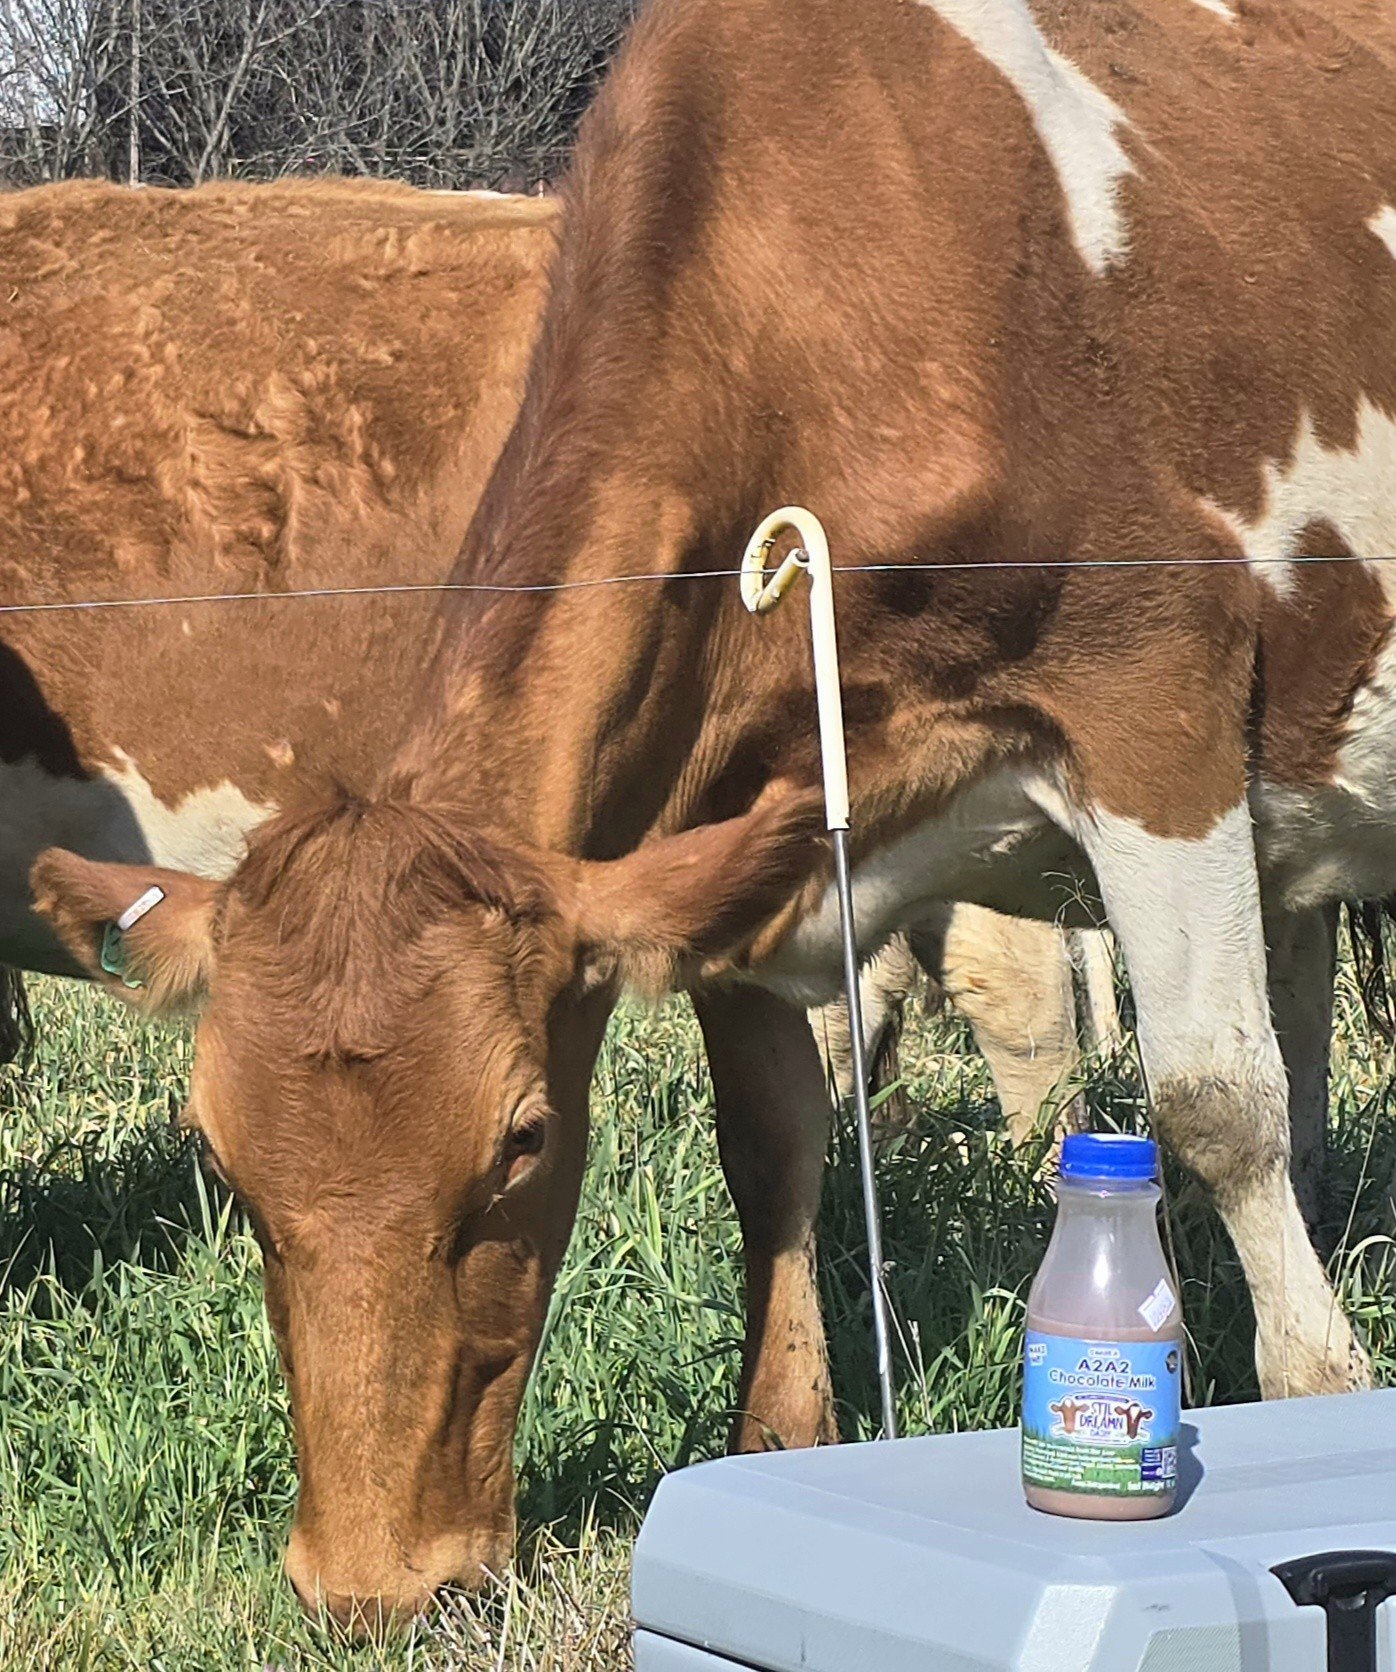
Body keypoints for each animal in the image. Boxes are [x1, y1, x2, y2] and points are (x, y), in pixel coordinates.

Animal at [31, 0, 1393, 1626]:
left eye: (524, 1141)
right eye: (228, 1163)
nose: (367, 1583)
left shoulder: (1153, 697)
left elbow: (1213, 1102)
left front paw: (1318, 1389)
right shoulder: (739, 820)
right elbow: (774, 1132)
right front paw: (778, 1441)